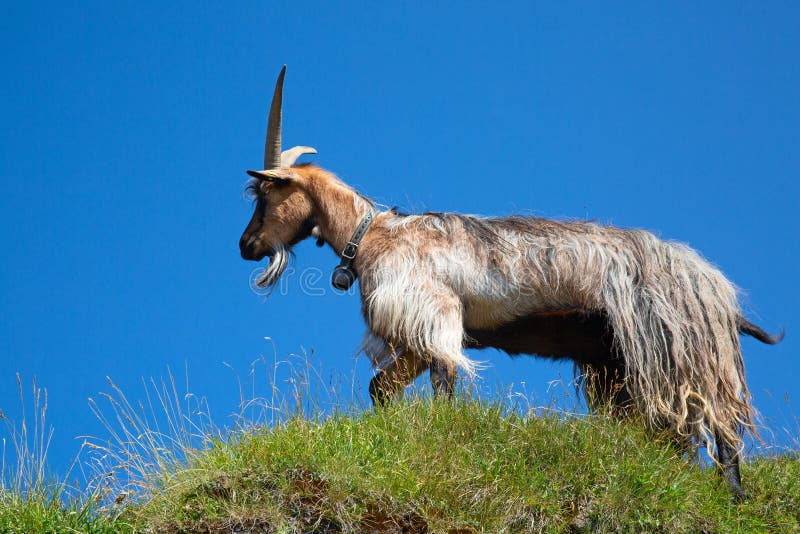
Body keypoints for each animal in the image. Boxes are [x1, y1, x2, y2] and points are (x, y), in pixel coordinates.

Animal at [239, 67, 783, 501]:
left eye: (265, 194)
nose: (246, 244)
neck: (372, 233)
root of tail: (716, 289)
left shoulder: (431, 317)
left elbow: (440, 384)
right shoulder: (416, 338)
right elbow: (382, 389)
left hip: (685, 356)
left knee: (723, 427)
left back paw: (735, 498)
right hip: (622, 366)